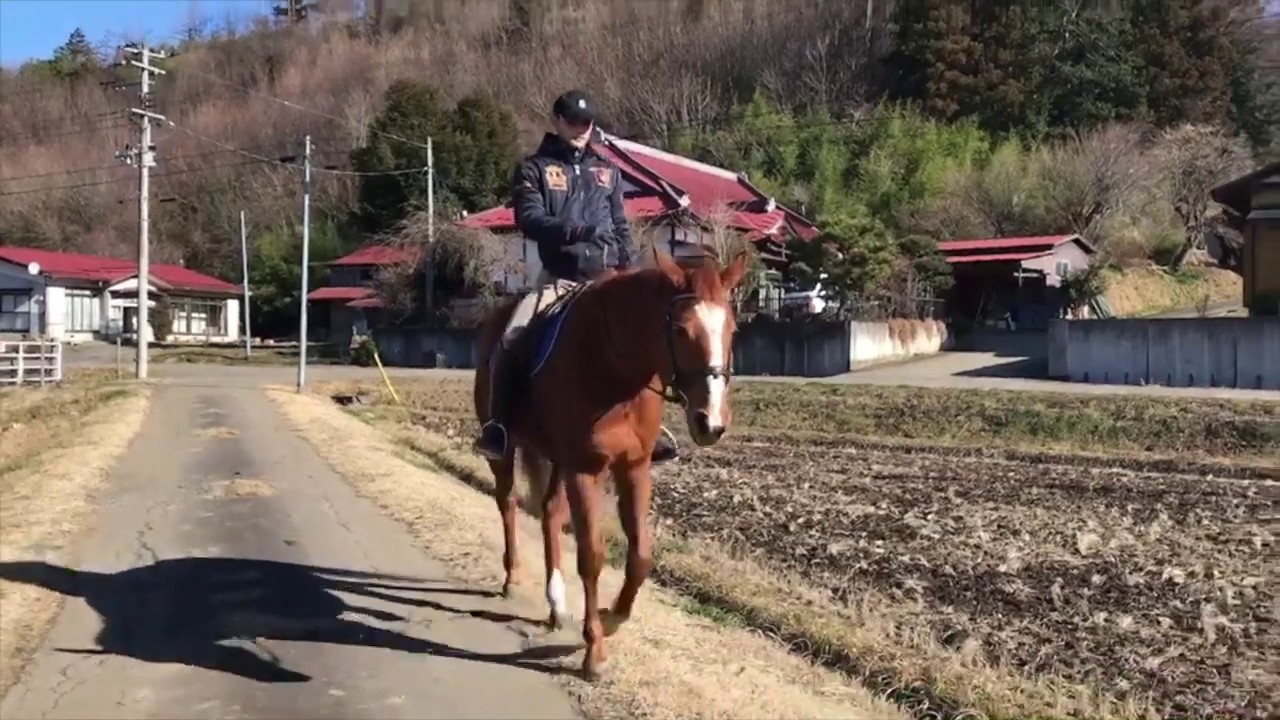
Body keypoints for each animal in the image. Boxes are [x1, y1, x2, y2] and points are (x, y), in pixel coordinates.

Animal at [472, 247, 749, 679]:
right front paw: (594, 649)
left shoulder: (632, 468)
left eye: (732, 330)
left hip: (559, 460)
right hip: (509, 450)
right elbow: (592, 556)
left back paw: (556, 603)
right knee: (509, 504)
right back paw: (513, 577)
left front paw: (611, 618)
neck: (613, 370)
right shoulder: (585, 470)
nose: (712, 422)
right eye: (681, 330)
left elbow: (640, 556)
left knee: (550, 513)